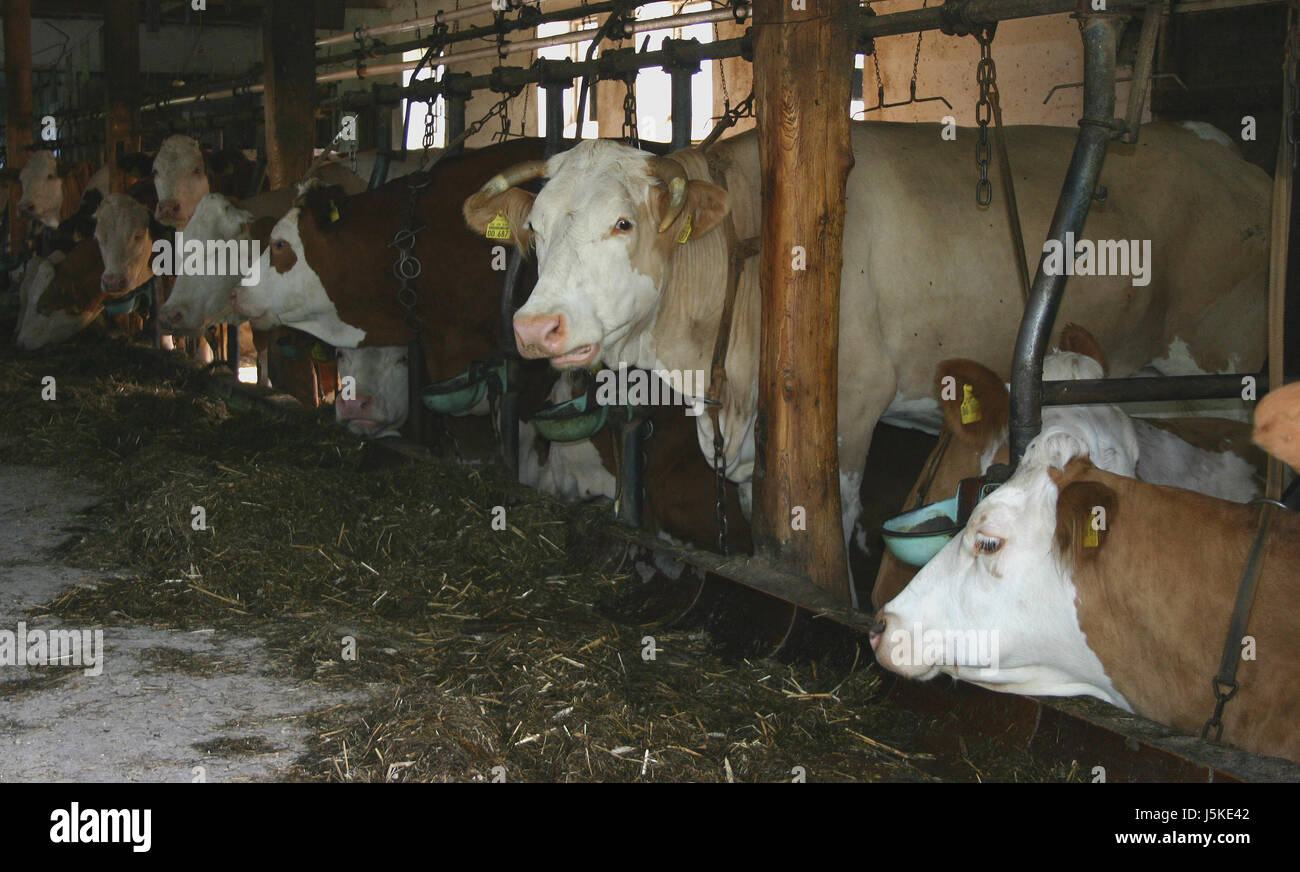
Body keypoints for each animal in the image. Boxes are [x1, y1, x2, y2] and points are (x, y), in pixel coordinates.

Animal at [463, 123, 1270, 606]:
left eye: (623, 223)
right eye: (533, 231)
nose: (535, 326)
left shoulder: (850, 400)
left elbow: (831, 516)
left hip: (1221, 379)